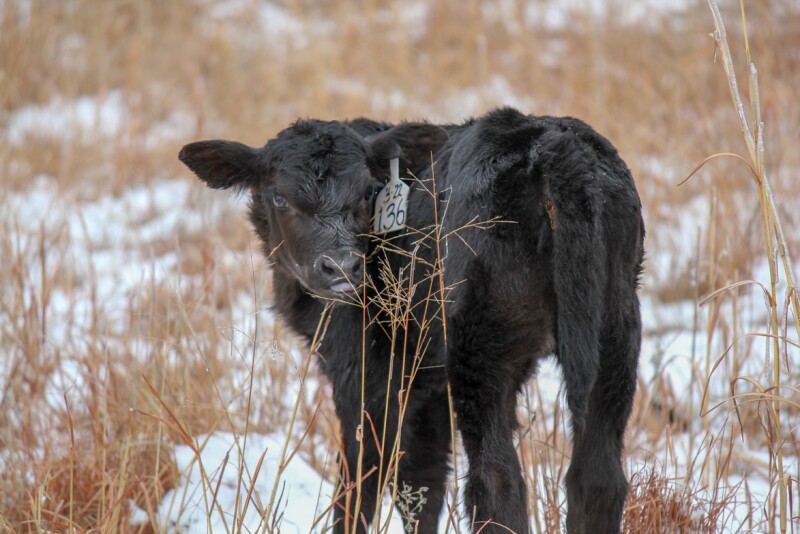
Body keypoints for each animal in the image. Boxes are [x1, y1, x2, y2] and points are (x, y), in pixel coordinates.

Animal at [179, 107, 644, 533]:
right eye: (279, 197)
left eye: (367, 193)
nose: (341, 267)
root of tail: (554, 146)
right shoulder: (424, 382)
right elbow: (422, 486)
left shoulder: (364, 371)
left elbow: (360, 484)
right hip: (616, 331)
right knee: (597, 477)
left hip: (481, 349)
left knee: (495, 481)